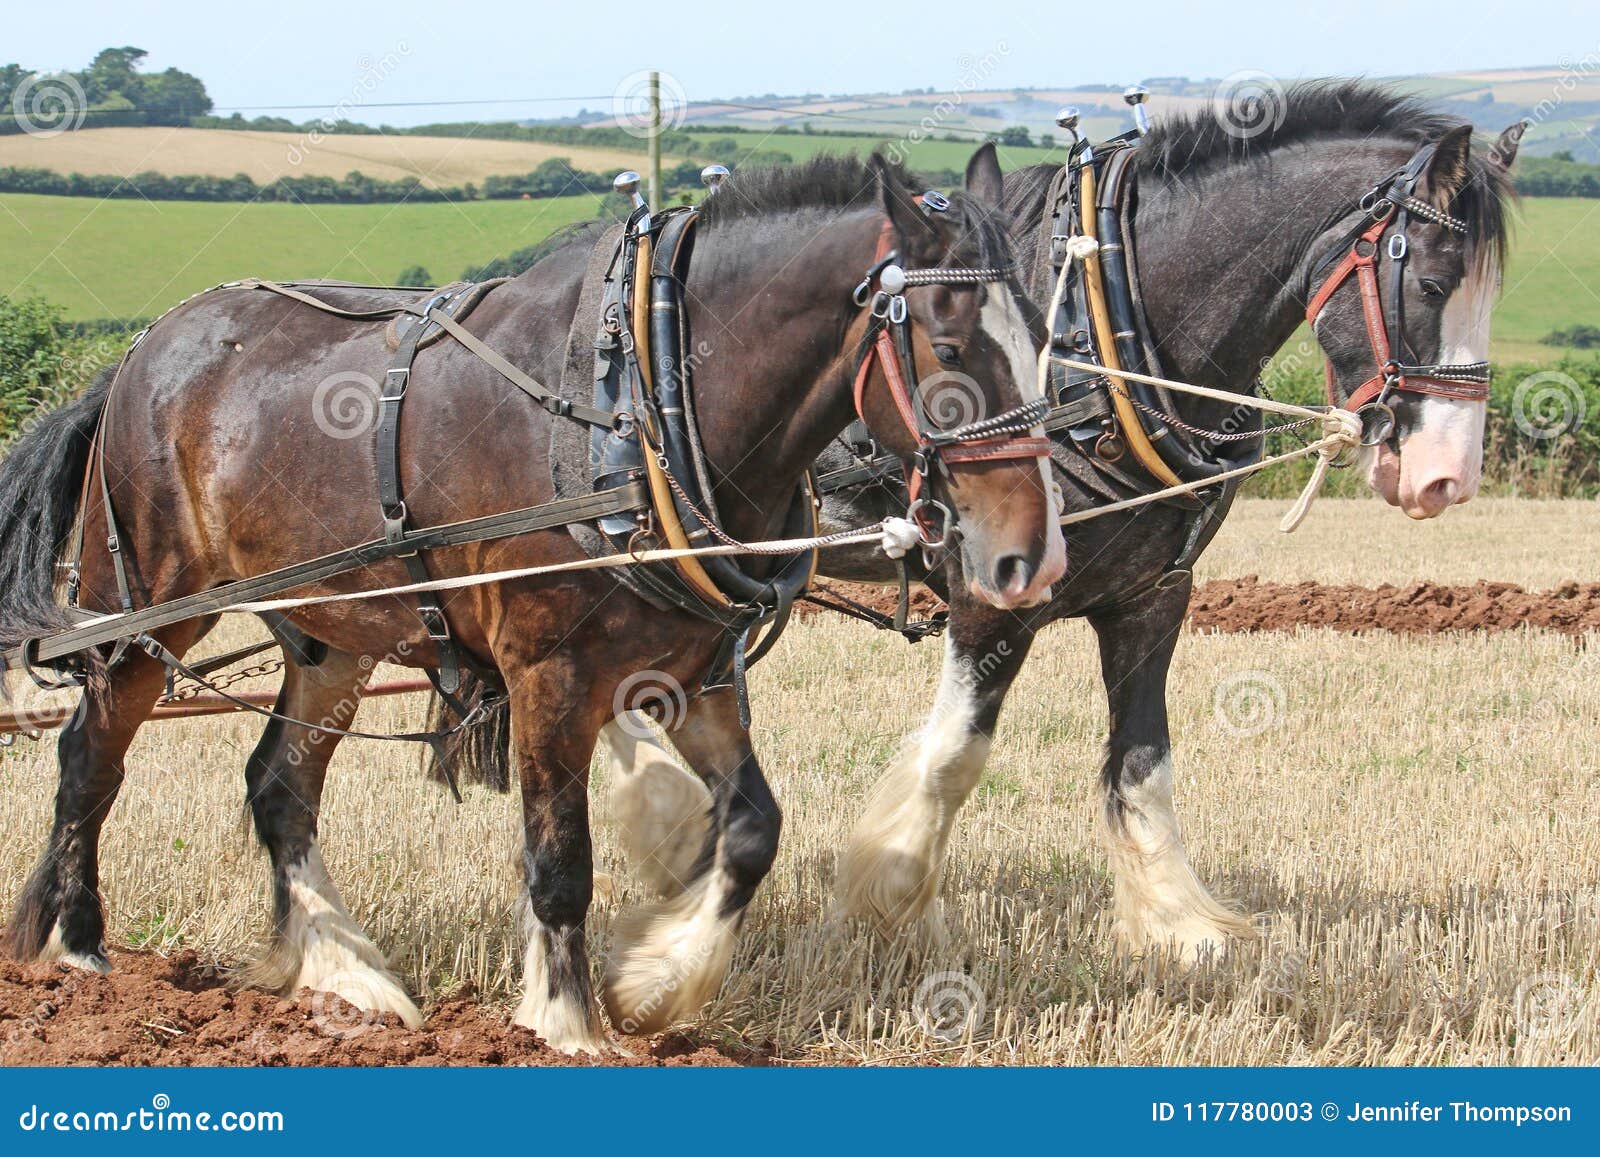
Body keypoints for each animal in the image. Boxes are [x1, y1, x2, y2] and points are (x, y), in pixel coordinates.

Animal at [0, 146, 1065, 1054]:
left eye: (1043, 339)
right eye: (952, 344)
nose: (1033, 560)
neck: (644, 400)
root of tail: (139, 354)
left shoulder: (694, 673)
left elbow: (755, 828)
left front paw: (655, 982)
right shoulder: (549, 675)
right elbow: (561, 862)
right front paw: (566, 1021)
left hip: (332, 633)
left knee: (278, 786)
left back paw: (344, 975)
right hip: (144, 605)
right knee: (90, 757)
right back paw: (77, 953)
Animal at [592, 83, 1521, 964]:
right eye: (1431, 284)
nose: (1446, 476)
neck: (1105, 344)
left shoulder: (1156, 594)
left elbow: (1143, 760)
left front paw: (1179, 924)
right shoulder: (990, 594)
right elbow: (951, 758)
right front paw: (886, 908)